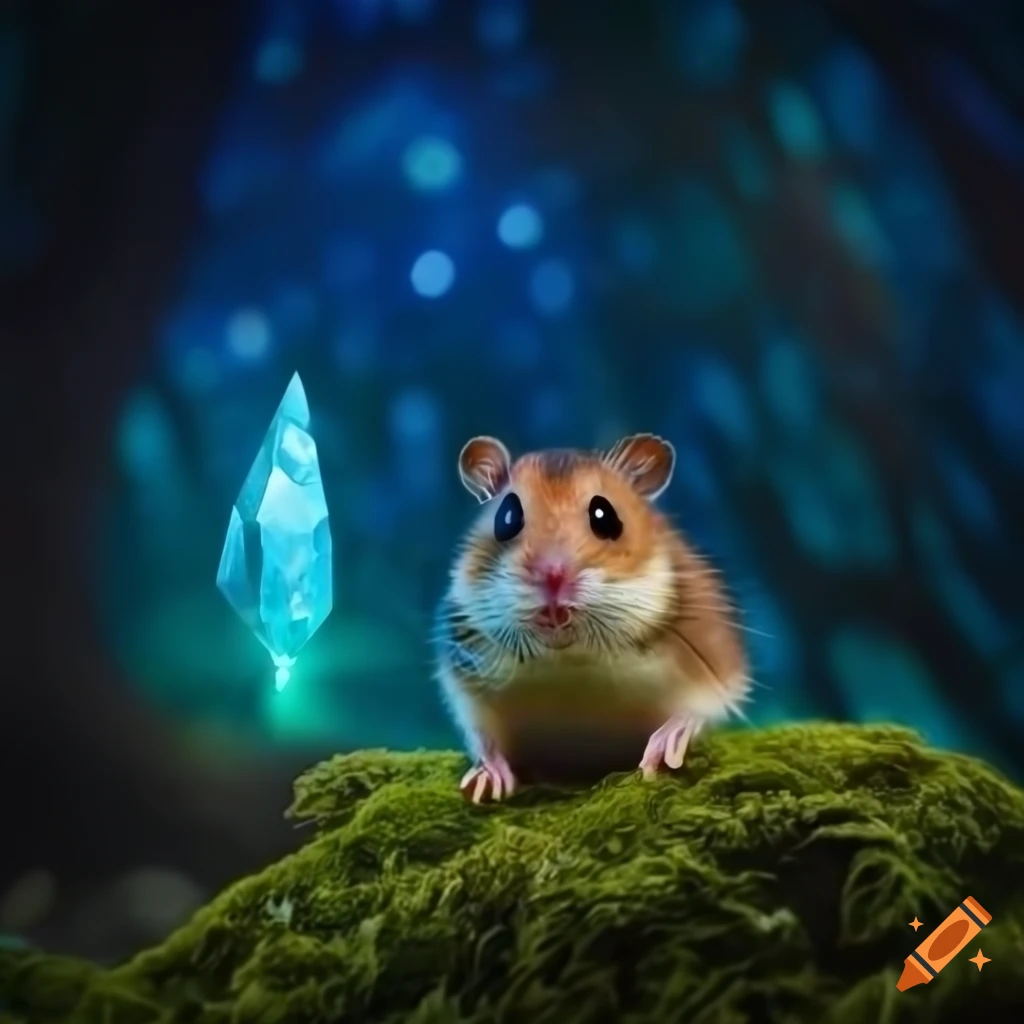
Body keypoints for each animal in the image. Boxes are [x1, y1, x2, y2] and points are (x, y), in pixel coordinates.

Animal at [433, 433, 750, 803]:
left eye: (604, 515)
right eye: (506, 516)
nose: (554, 577)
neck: (572, 662)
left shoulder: (718, 660)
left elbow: (699, 708)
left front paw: (663, 751)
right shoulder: (465, 682)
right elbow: (483, 736)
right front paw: (487, 780)